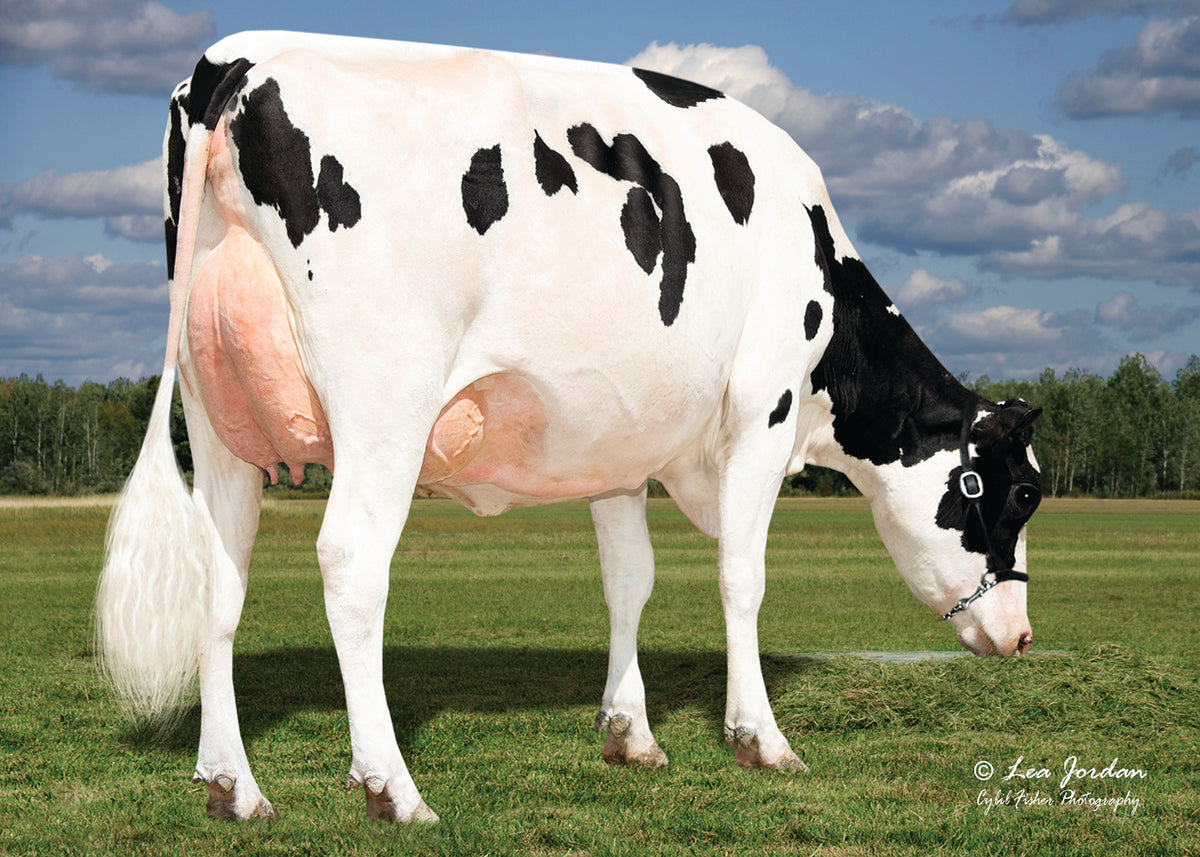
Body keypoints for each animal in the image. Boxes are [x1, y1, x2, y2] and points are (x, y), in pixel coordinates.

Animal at [96, 31, 1043, 824]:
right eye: (1019, 494)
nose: (1022, 637)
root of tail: (239, 60)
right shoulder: (762, 410)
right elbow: (742, 579)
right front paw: (761, 739)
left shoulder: (616, 448)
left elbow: (630, 580)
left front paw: (631, 732)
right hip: (384, 405)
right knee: (352, 565)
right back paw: (393, 788)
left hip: (217, 415)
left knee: (221, 576)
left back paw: (233, 785)